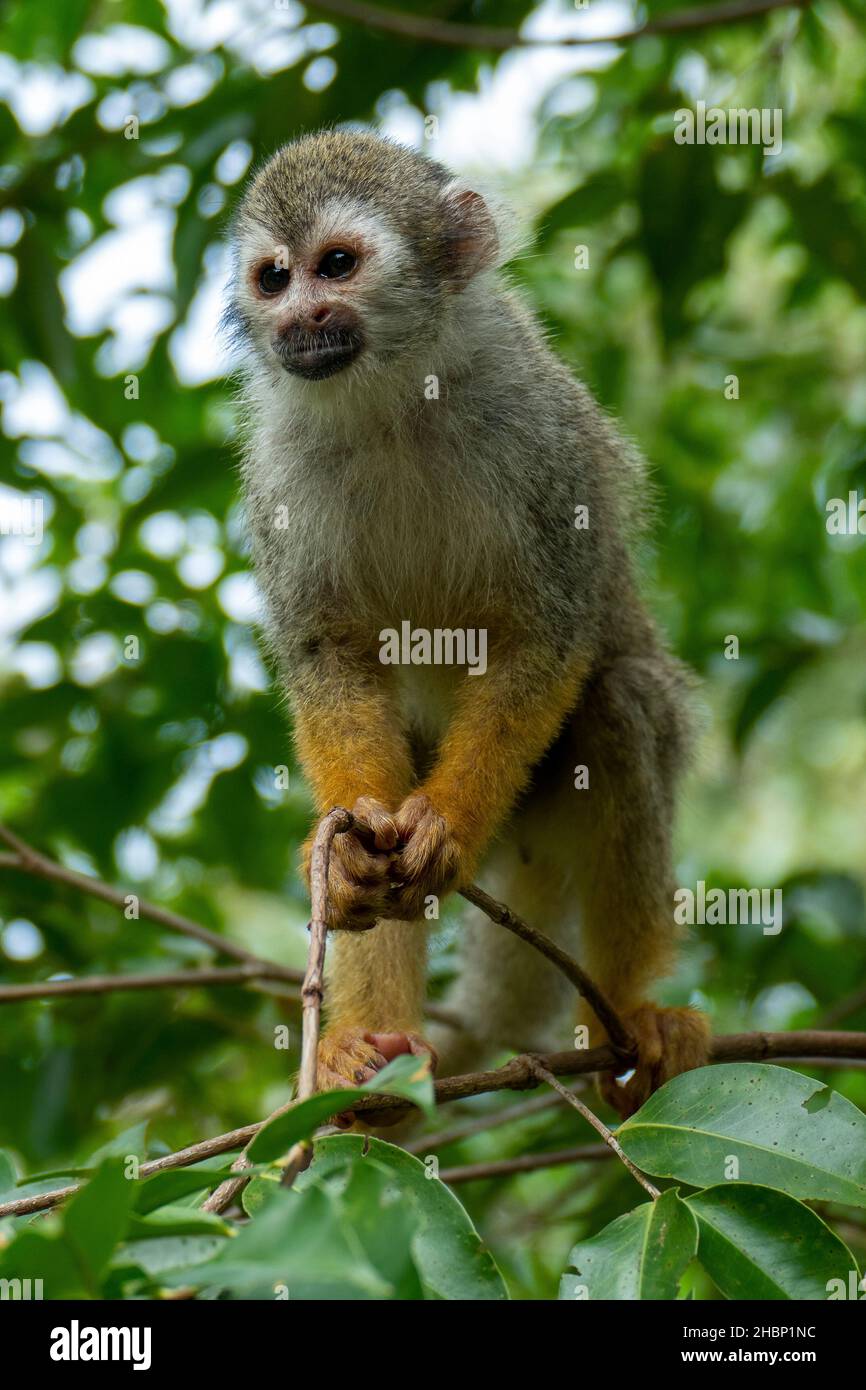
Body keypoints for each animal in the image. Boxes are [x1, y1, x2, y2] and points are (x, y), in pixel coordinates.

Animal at [226, 129, 710, 1120]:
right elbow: (328, 657)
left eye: (336, 265)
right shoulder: (278, 470)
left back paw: (632, 1013)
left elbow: (548, 634)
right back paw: (371, 1051)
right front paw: (352, 858)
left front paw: (445, 825)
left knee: (624, 705)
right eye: (273, 277)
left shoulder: (540, 424)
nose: (298, 319)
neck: (392, 400)